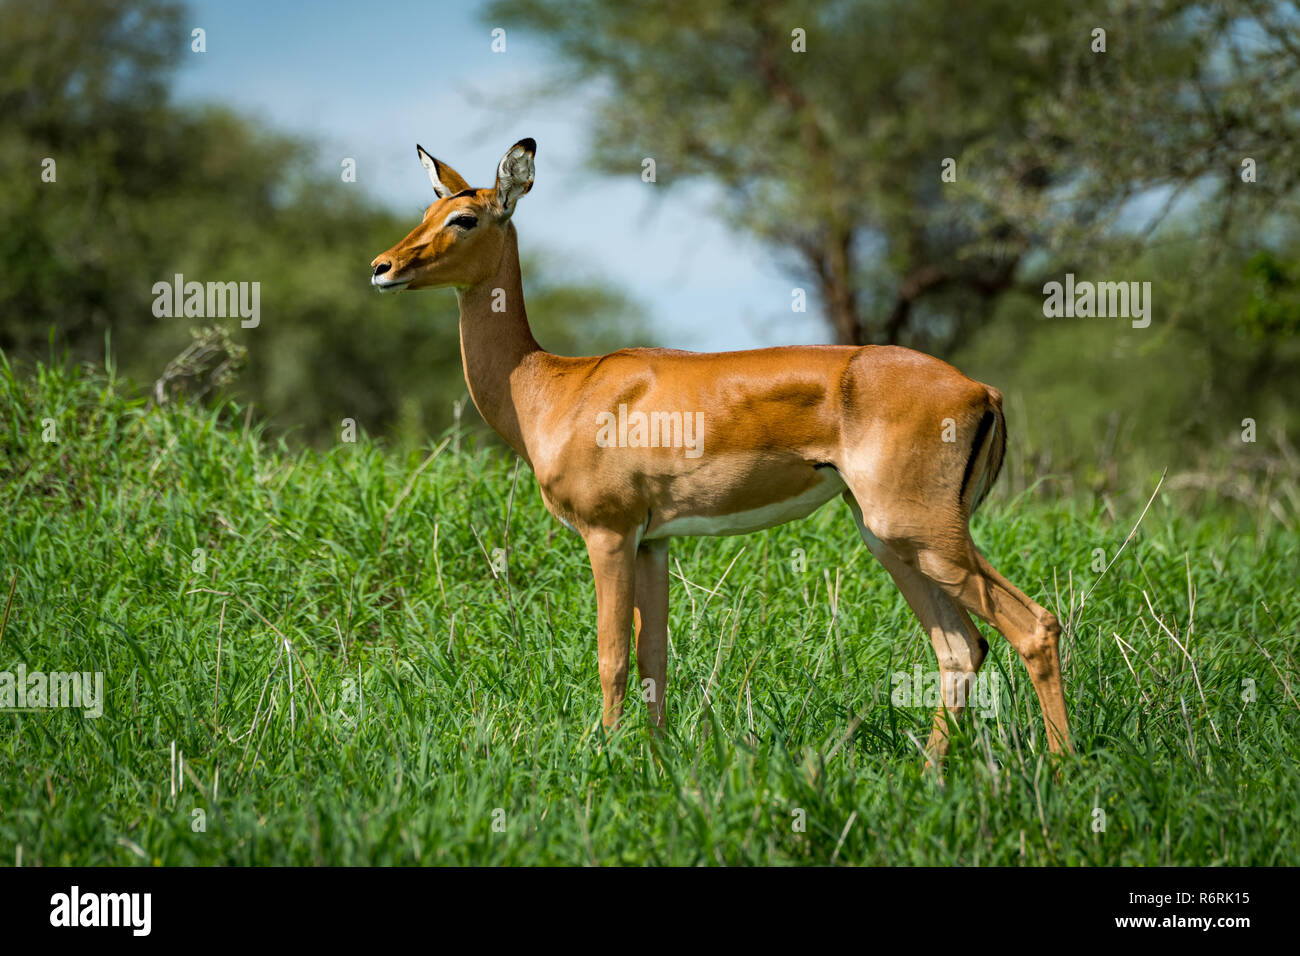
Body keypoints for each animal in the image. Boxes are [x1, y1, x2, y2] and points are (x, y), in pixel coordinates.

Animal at [370, 138, 1073, 760]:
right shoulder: (652, 542)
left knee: (1035, 625)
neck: (553, 385)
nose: (382, 267)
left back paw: (1063, 767)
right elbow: (653, 658)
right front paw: (655, 766)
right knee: (960, 649)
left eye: (464, 218)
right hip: (891, 539)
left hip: (920, 532)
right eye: (426, 211)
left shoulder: (607, 533)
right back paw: (931, 776)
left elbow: (611, 655)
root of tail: (981, 389)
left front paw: (608, 764)